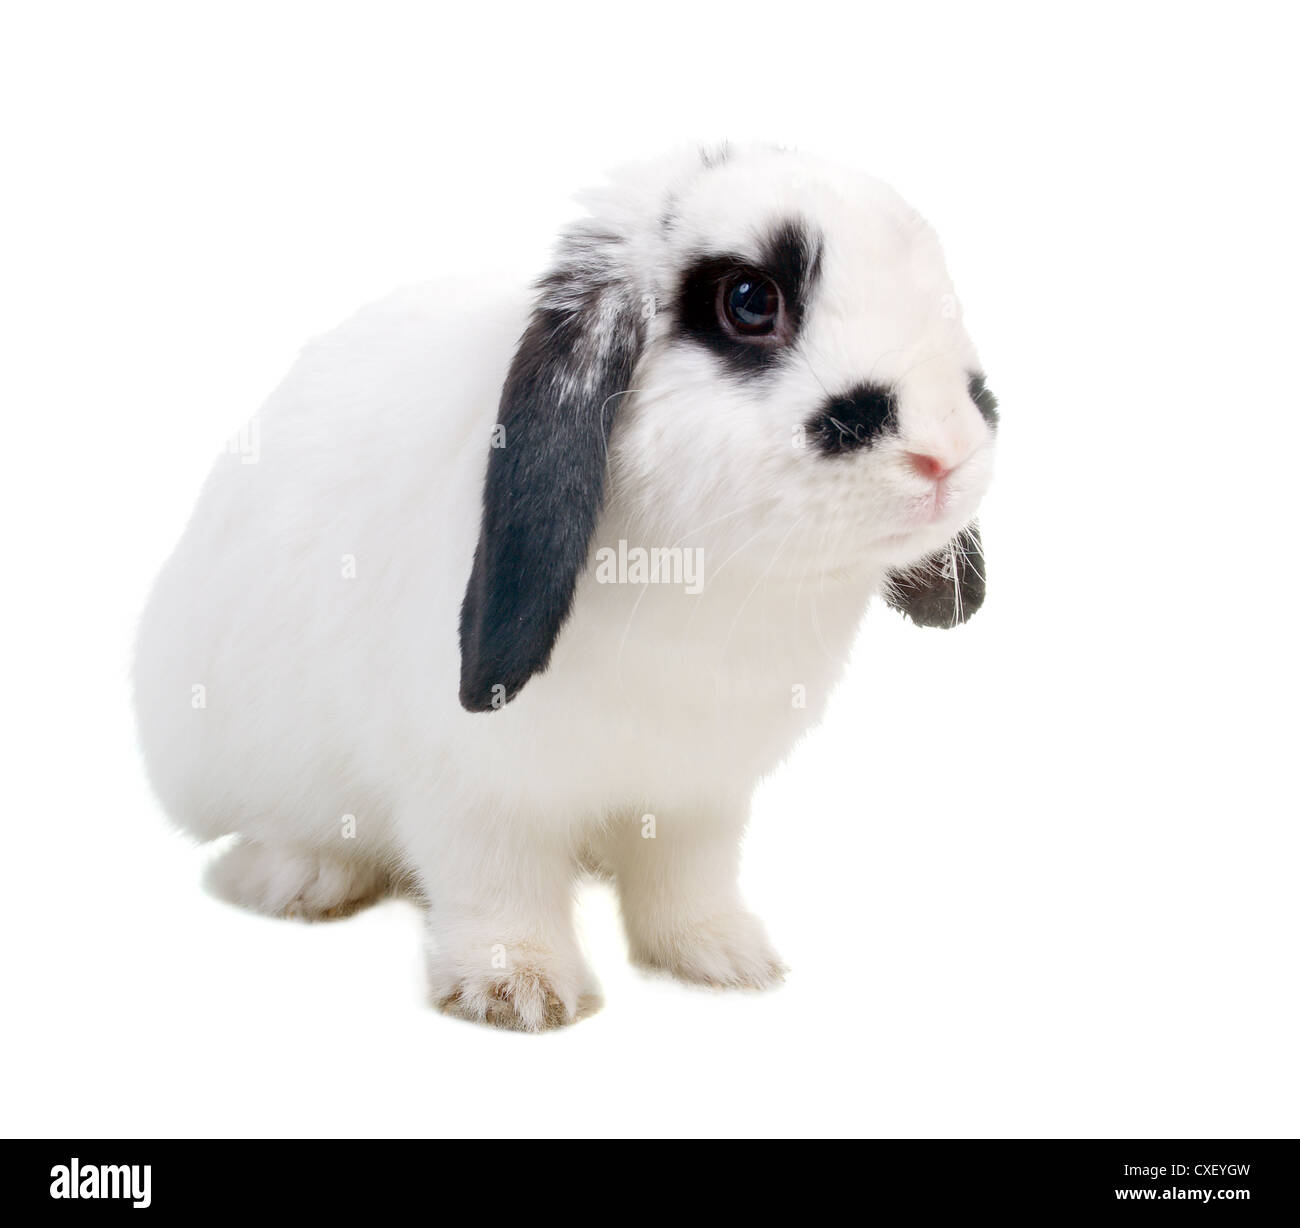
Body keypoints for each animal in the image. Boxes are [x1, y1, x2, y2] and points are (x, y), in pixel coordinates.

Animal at [132, 142, 998, 1031]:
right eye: (751, 301)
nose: (947, 454)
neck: (712, 581)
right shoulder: (472, 791)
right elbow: (495, 882)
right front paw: (517, 989)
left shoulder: (701, 798)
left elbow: (687, 879)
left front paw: (723, 958)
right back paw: (302, 879)